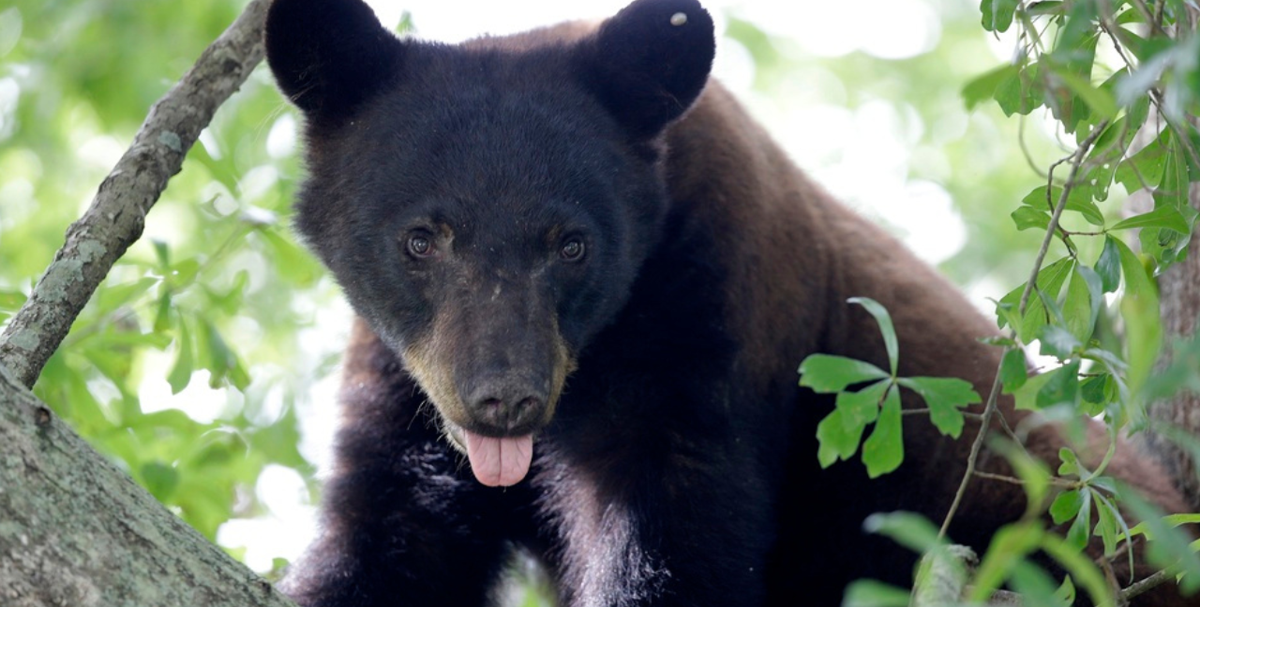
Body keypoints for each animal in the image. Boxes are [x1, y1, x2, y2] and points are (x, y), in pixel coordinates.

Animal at [264, 0, 1191, 606]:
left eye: (573, 244)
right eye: (421, 238)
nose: (504, 398)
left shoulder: (708, 321)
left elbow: (673, 536)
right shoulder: (403, 381)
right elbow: (390, 531)